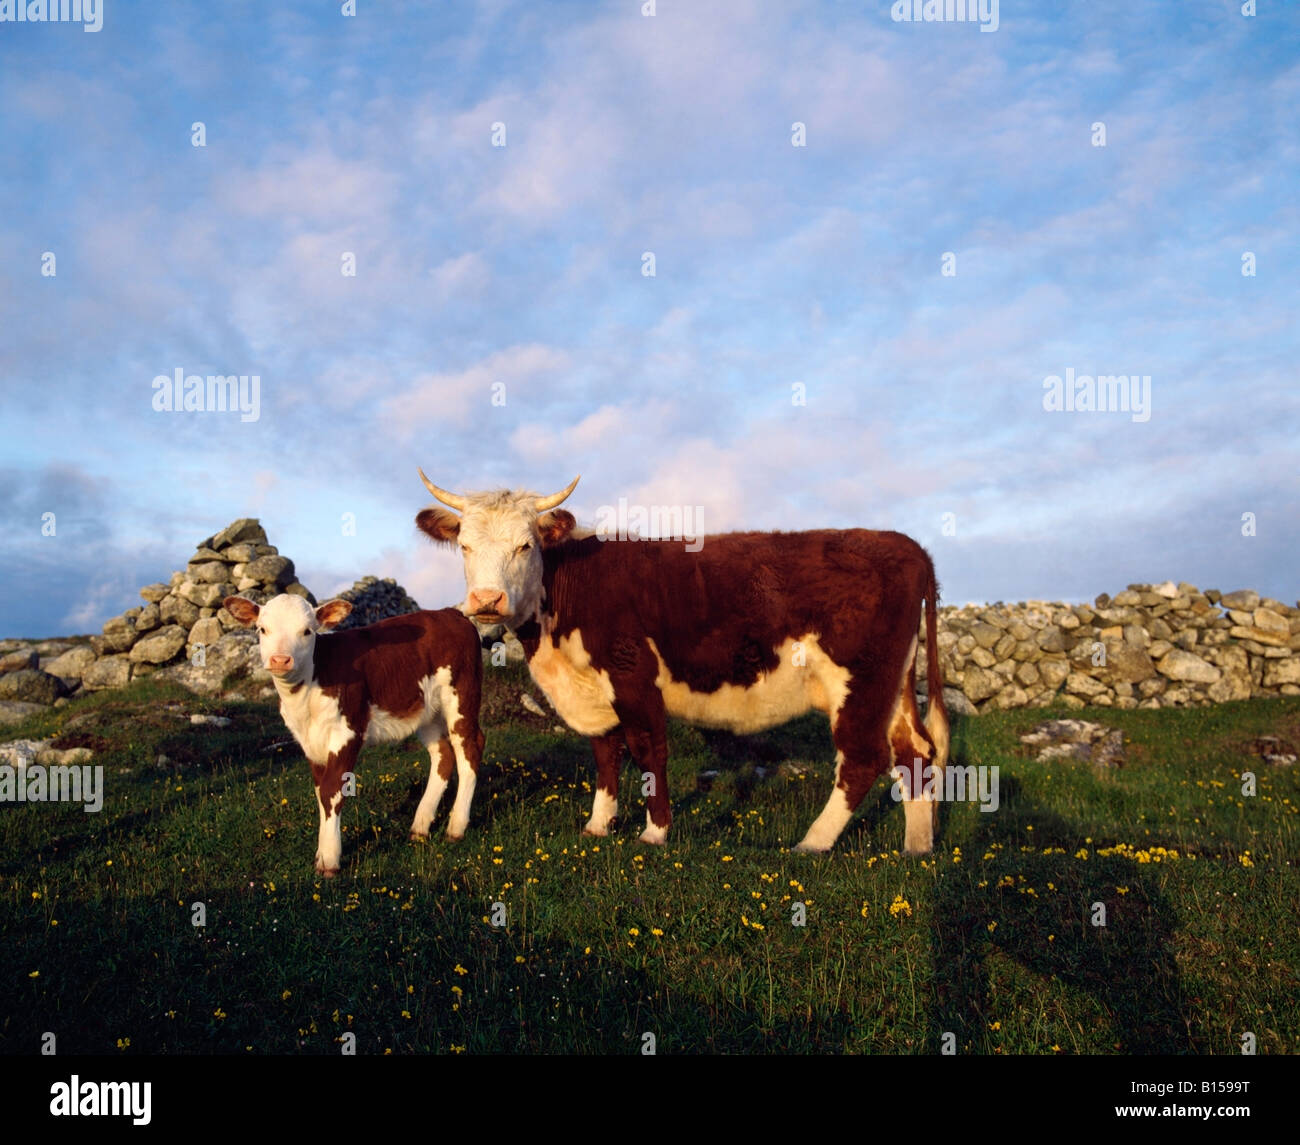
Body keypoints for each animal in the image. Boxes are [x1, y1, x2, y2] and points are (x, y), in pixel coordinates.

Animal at [223, 593, 485, 876]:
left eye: (307, 631)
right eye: (262, 629)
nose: (280, 660)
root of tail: (450, 612)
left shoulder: (347, 732)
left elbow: (332, 790)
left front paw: (329, 859)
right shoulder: (309, 742)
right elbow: (320, 792)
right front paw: (322, 852)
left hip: (462, 695)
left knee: (470, 748)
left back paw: (456, 826)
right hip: (426, 710)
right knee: (443, 754)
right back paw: (421, 825)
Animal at [414, 473, 949, 855]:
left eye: (526, 545)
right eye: (464, 545)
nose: (487, 600)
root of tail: (905, 545)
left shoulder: (633, 676)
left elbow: (648, 750)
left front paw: (654, 832)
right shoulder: (594, 692)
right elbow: (606, 752)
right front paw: (597, 825)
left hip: (860, 681)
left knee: (863, 758)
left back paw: (812, 842)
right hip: (895, 684)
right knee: (916, 752)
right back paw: (916, 848)